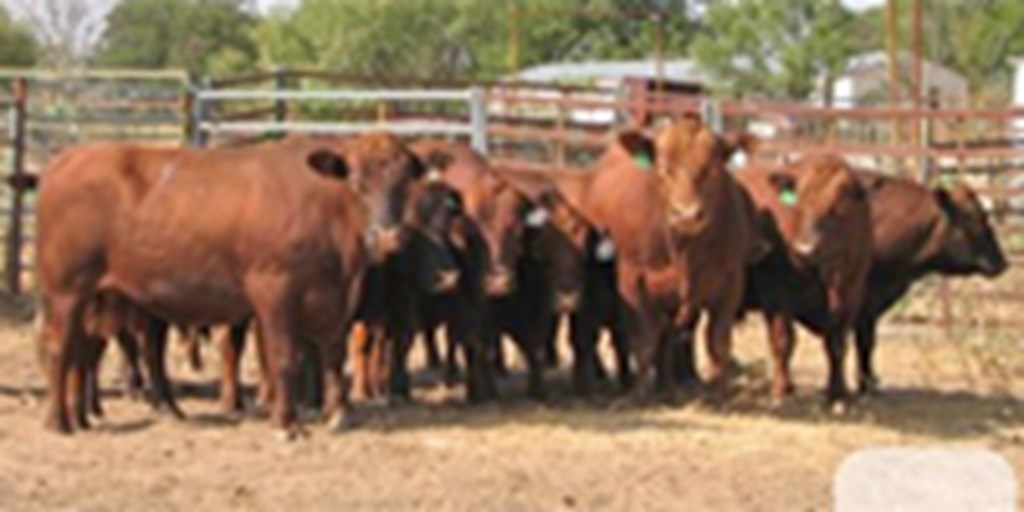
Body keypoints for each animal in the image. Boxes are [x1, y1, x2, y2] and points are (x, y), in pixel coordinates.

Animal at [36, 132, 426, 436]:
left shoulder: (335, 300)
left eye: (405, 185)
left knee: (98, 350)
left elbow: (333, 354)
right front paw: (286, 423)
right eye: (358, 185)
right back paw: (58, 422)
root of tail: (65, 160)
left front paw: (338, 413)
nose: (389, 236)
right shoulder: (274, 291)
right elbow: (284, 358)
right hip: (66, 290)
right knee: (60, 348)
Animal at [737, 153, 873, 406]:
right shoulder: (776, 294)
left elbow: (837, 345)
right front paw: (782, 390)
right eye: (800, 203)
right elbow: (783, 340)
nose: (804, 250)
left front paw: (837, 391)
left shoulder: (852, 295)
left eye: (837, 207)